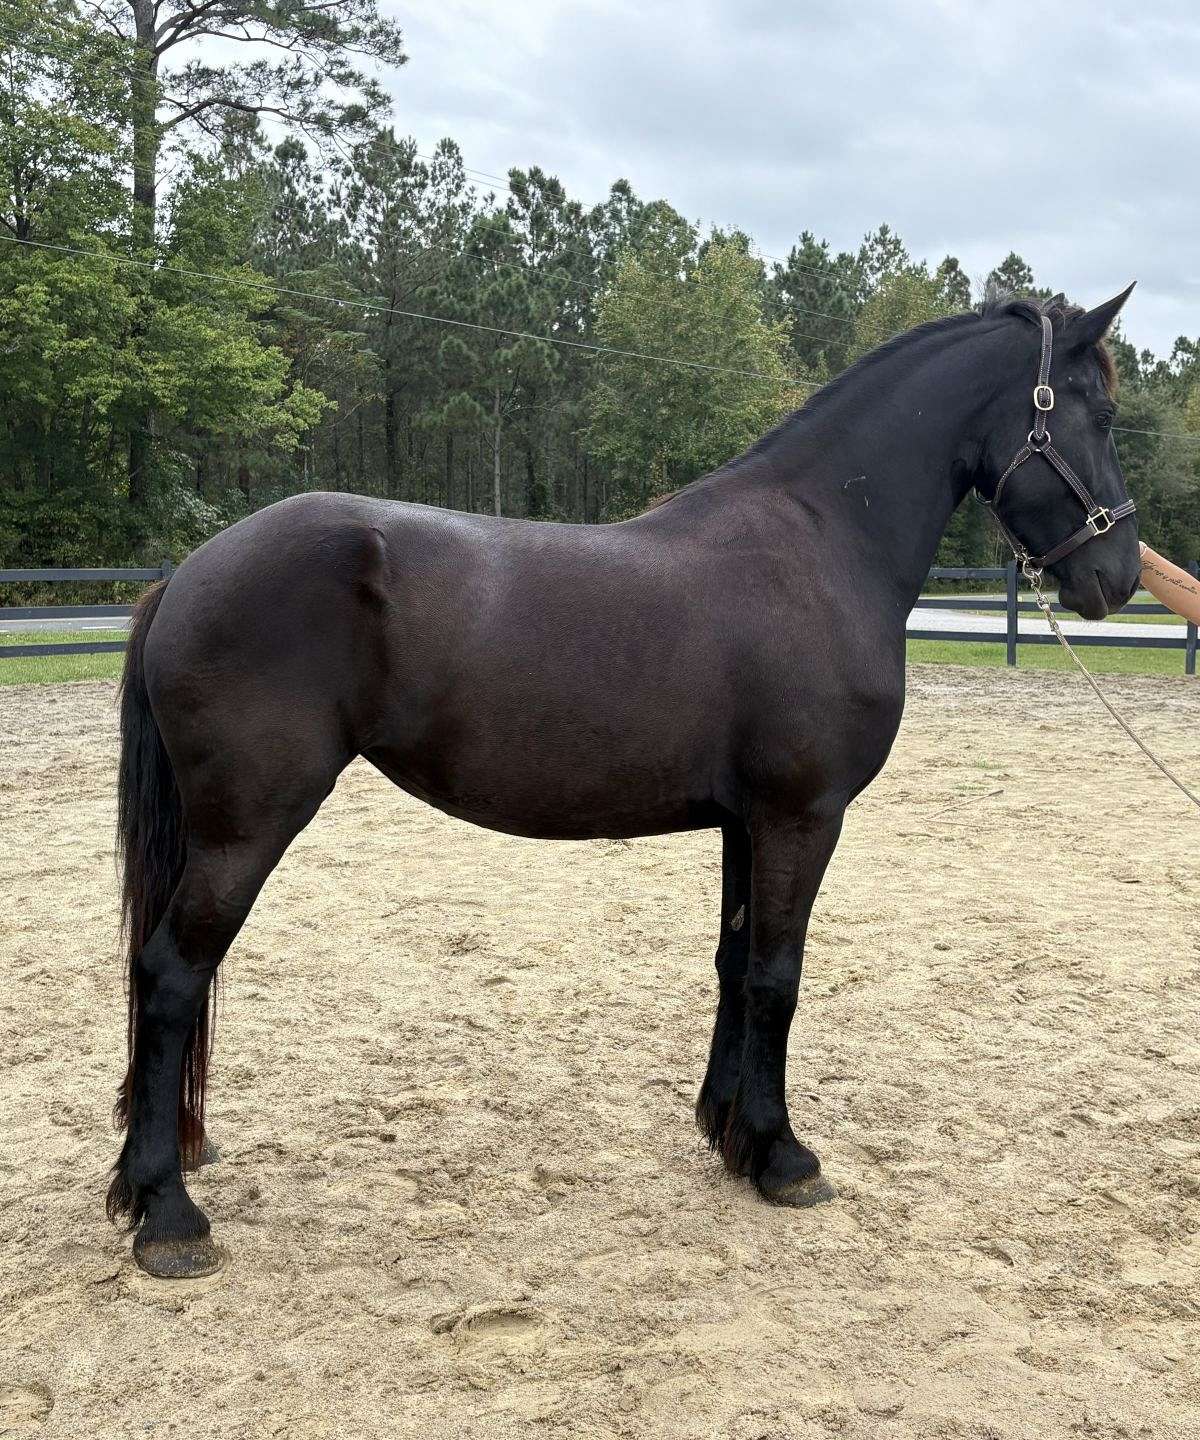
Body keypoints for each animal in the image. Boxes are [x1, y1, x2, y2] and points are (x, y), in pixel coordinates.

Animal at [108, 289, 1141, 1278]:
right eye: (1094, 410)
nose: (1119, 576)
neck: (820, 543)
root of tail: (188, 574)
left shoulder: (746, 824)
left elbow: (734, 965)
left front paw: (726, 1132)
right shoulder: (802, 817)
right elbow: (778, 977)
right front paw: (783, 1156)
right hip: (246, 829)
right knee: (170, 975)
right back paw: (167, 1216)